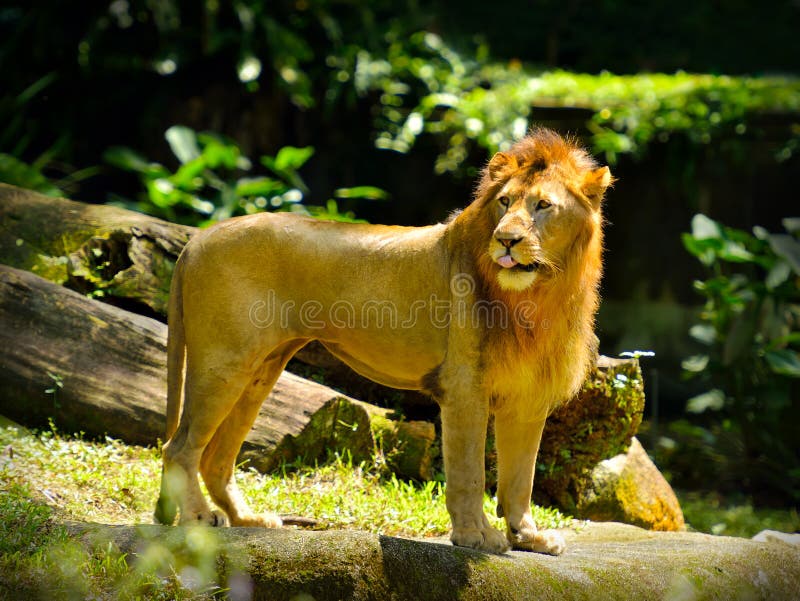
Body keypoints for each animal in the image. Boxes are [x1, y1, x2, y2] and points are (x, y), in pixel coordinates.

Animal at [154, 127, 612, 555]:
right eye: (504, 202)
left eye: (543, 205)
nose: (506, 239)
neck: (540, 296)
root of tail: (198, 238)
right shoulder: (464, 387)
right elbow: (469, 473)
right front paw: (476, 536)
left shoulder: (528, 398)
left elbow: (520, 478)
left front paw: (529, 537)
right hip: (224, 363)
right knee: (180, 447)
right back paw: (199, 518)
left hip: (261, 369)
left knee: (215, 458)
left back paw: (247, 519)